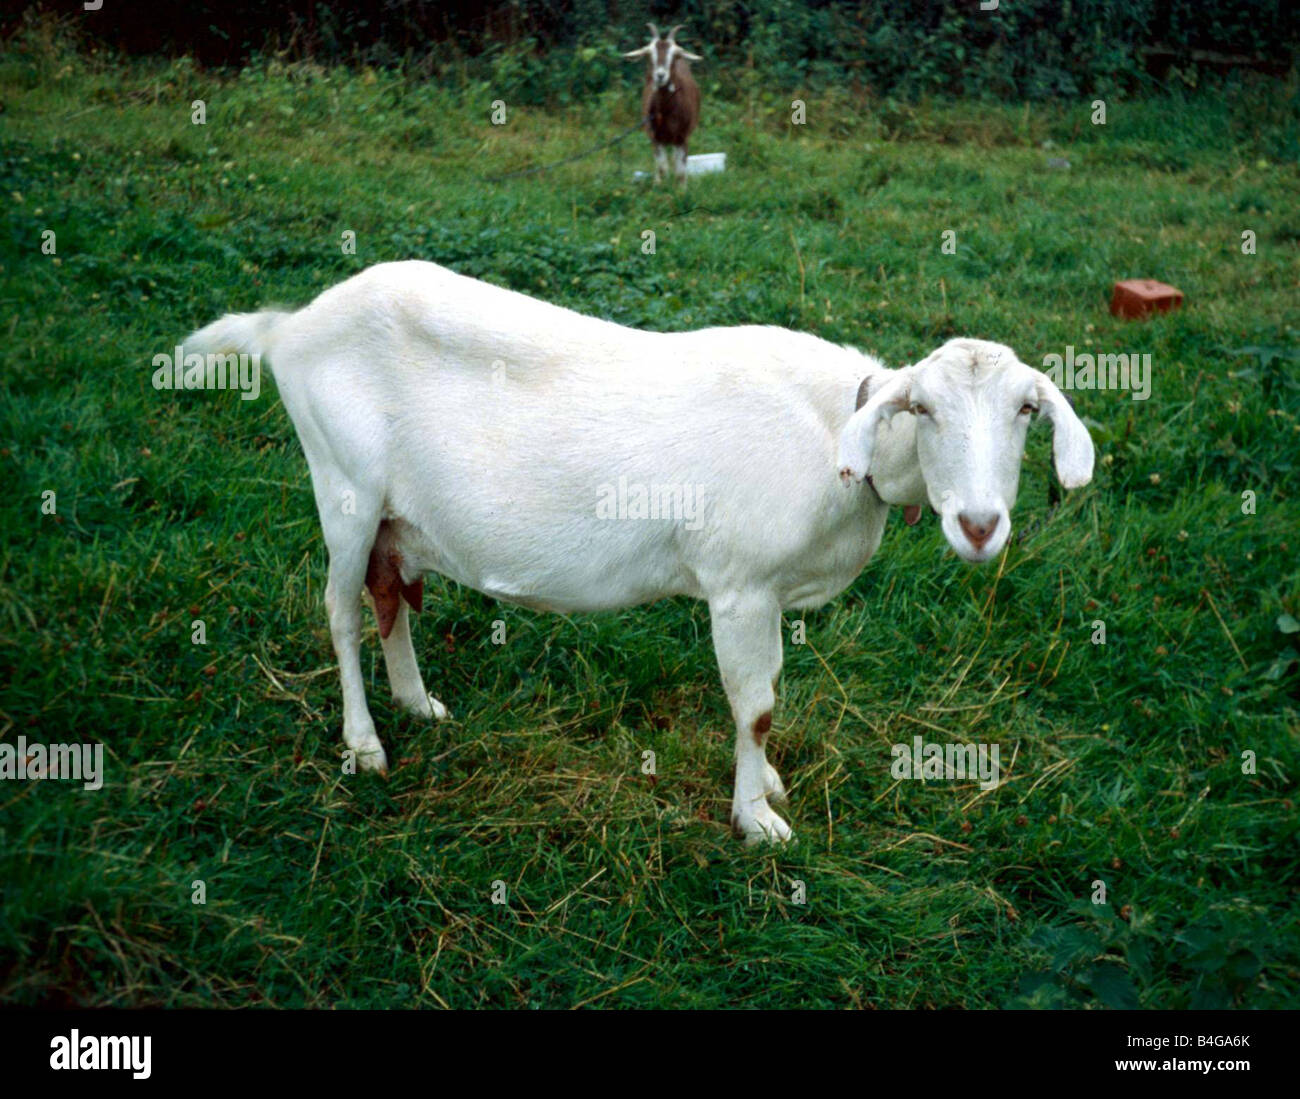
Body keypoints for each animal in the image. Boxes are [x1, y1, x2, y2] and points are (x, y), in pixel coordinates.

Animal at [185, 260, 1095, 844]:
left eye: (1025, 409)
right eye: (925, 408)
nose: (979, 524)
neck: (833, 436)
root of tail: (289, 327)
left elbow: (769, 695)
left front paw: (766, 786)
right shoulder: (739, 585)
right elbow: (755, 703)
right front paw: (757, 820)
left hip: (393, 516)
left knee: (387, 599)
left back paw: (417, 704)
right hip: (342, 484)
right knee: (339, 613)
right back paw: (366, 743)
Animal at [623, 22, 701, 183]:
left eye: (675, 55)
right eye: (648, 54)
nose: (660, 75)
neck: (667, 112)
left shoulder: (682, 137)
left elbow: (680, 172)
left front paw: (681, 189)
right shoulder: (655, 137)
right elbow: (662, 169)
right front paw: (659, 186)